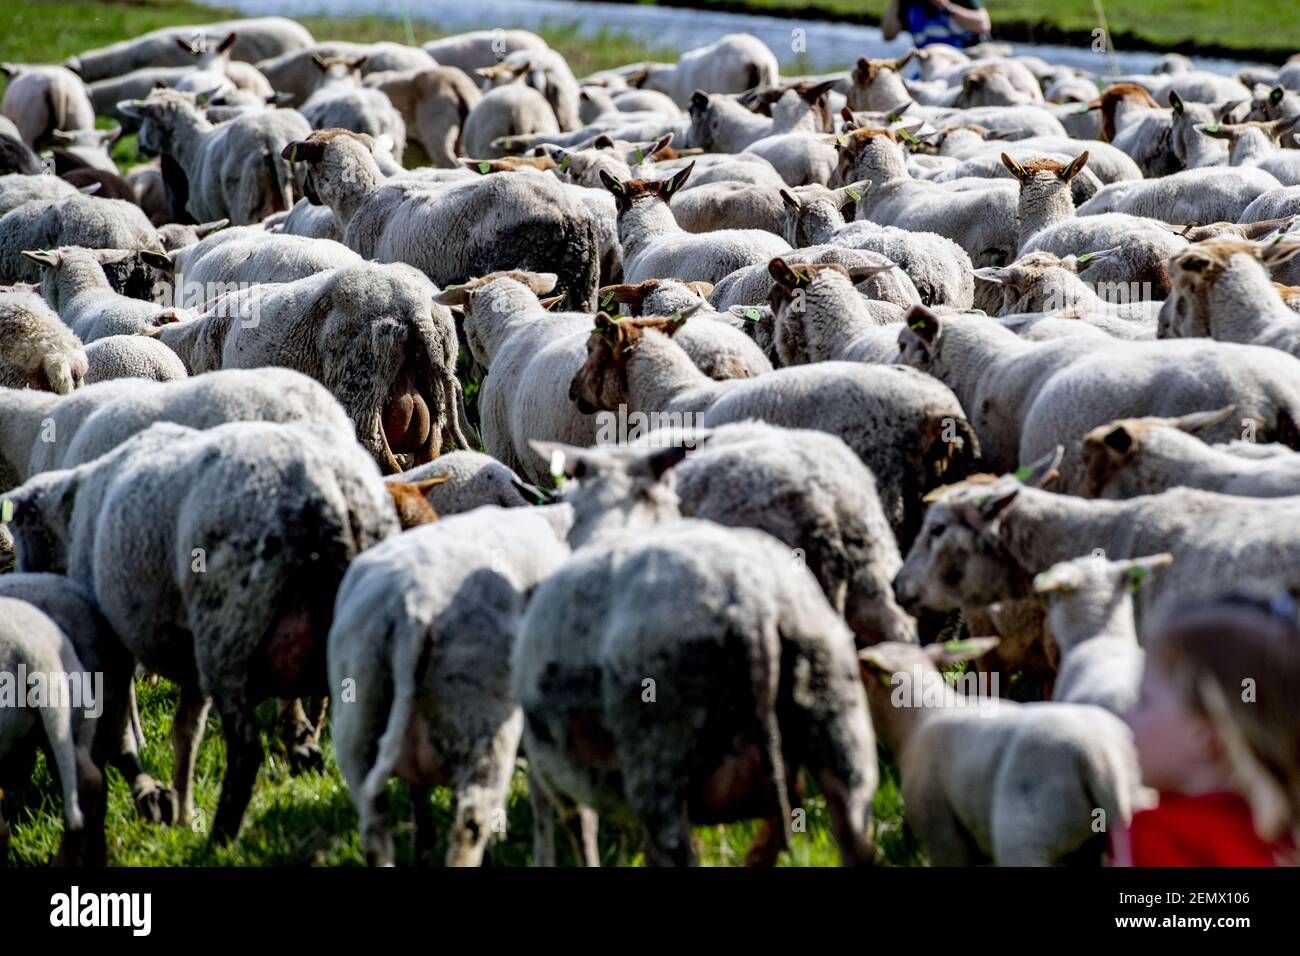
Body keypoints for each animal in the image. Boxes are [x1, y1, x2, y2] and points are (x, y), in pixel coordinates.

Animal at [3, 418, 398, 844]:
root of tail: (325, 487)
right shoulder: (188, 657)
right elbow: (185, 731)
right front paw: (181, 809)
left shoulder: (110, 638)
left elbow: (118, 730)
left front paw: (153, 797)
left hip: (226, 629)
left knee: (246, 751)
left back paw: (221, 837)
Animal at [120, 88, 310, 226]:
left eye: (145, 118)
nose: (140, 145)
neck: (193, 144)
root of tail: (273, 136)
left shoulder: (208, 216)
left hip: (244, 203)